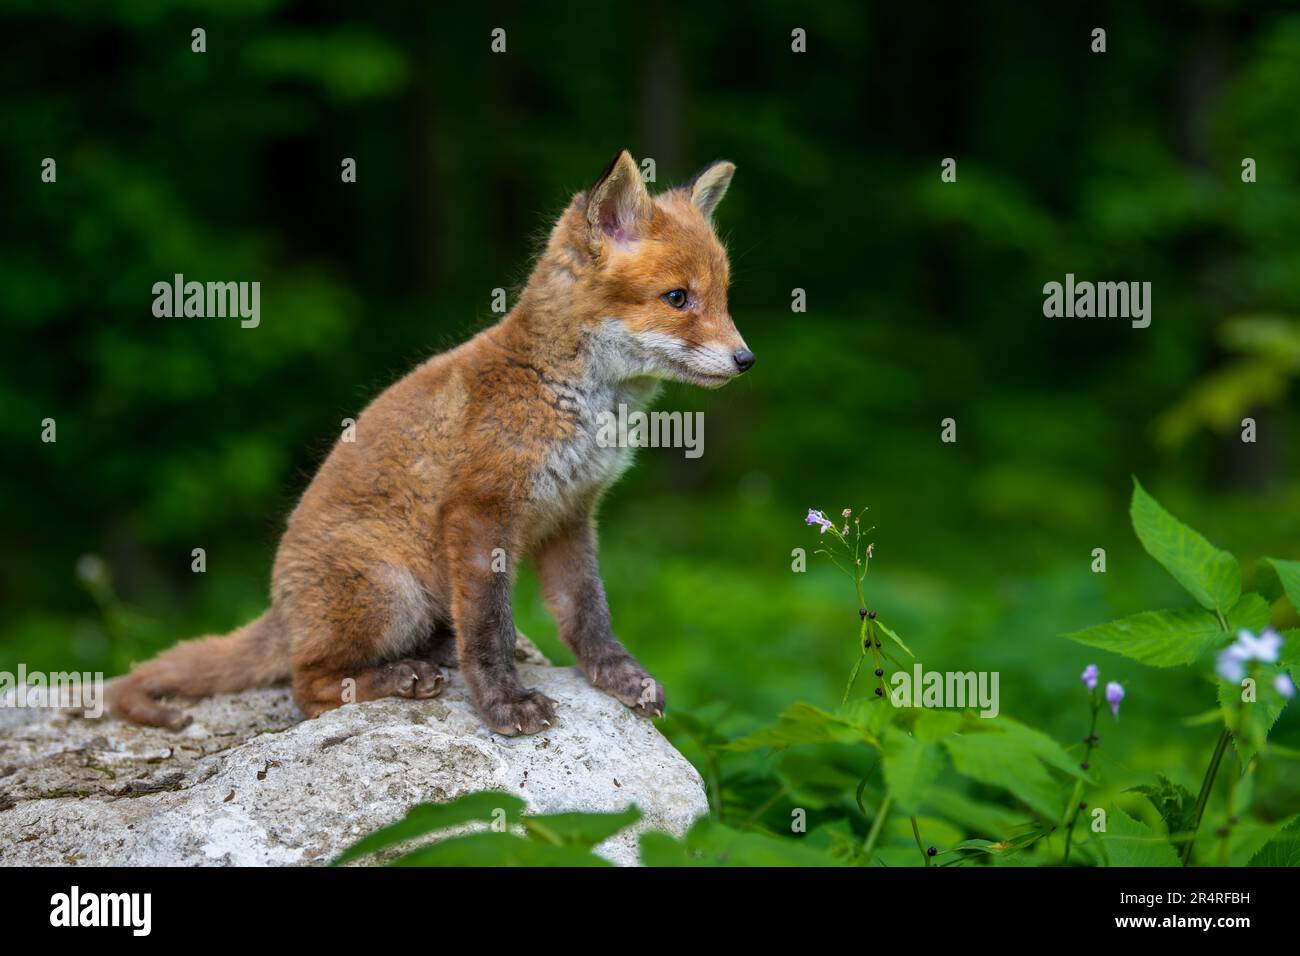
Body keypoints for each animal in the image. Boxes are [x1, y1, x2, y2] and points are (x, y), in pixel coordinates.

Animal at [111, 149, 754, 736]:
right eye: (677, 298)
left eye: (724, 296)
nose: (746, 360)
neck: (565, 395)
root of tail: (282, 606)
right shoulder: (479, 511)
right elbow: (490, 627)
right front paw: (504, 703)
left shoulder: (571, 515)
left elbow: (587, 614)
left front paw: (617, 675)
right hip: (391, 596)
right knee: (306, 684)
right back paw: (399, 675)